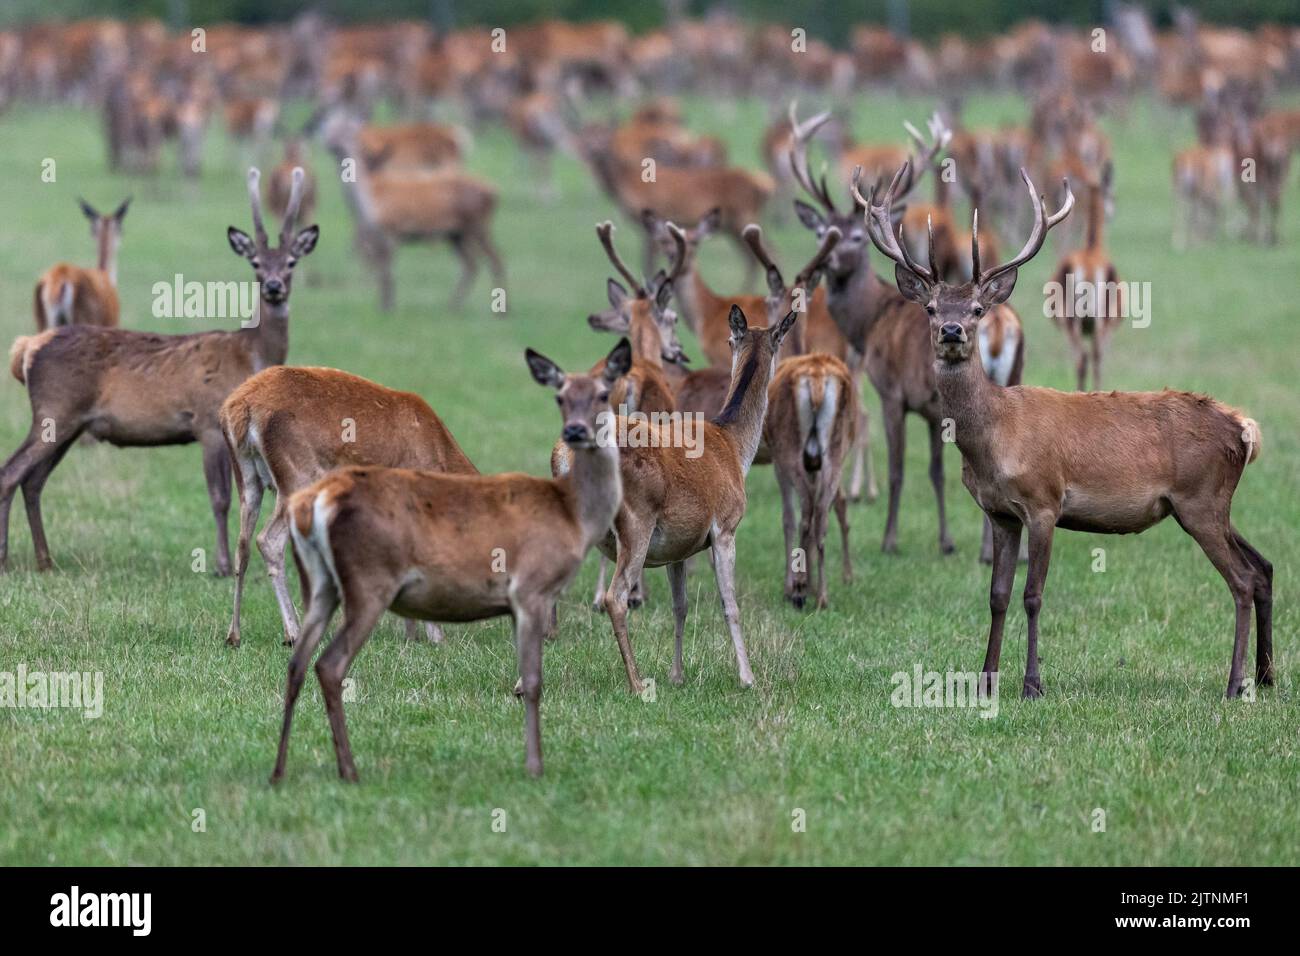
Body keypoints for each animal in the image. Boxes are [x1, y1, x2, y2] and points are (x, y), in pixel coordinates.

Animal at [220, 365, 479, 649]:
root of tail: (238, 408)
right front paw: (434, 637)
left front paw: (412, 634)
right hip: (298, 480)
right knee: (268, 540)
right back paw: (293, 633)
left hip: (246, 480)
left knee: (242, 546)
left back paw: (234, 635)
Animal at [272, 339, 633, 782]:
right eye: (560, 396)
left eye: (602, 393)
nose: (576, 431)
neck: (573, 514)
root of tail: (317, 502)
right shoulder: (532, 589)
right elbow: (534, 681)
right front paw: (535, 765)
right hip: (369, 583)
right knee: (330, 665)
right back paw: (349, 769)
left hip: (321, 585)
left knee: (297, 662)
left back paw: (280, 770)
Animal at [789, 102, 957, 555]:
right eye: (821, 230)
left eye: (859, 238)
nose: (828, 259)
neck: (871, 319)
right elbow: (937, 472)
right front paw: (945, 540)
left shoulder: (894, 393)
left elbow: (902, 470)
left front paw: (891, 538)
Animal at [1049, 161, 1123, 391]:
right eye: (1111, 193)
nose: (1112, 212)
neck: (1093, 246)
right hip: (1089, 321)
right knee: (1090, 357)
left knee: (1086, 358)